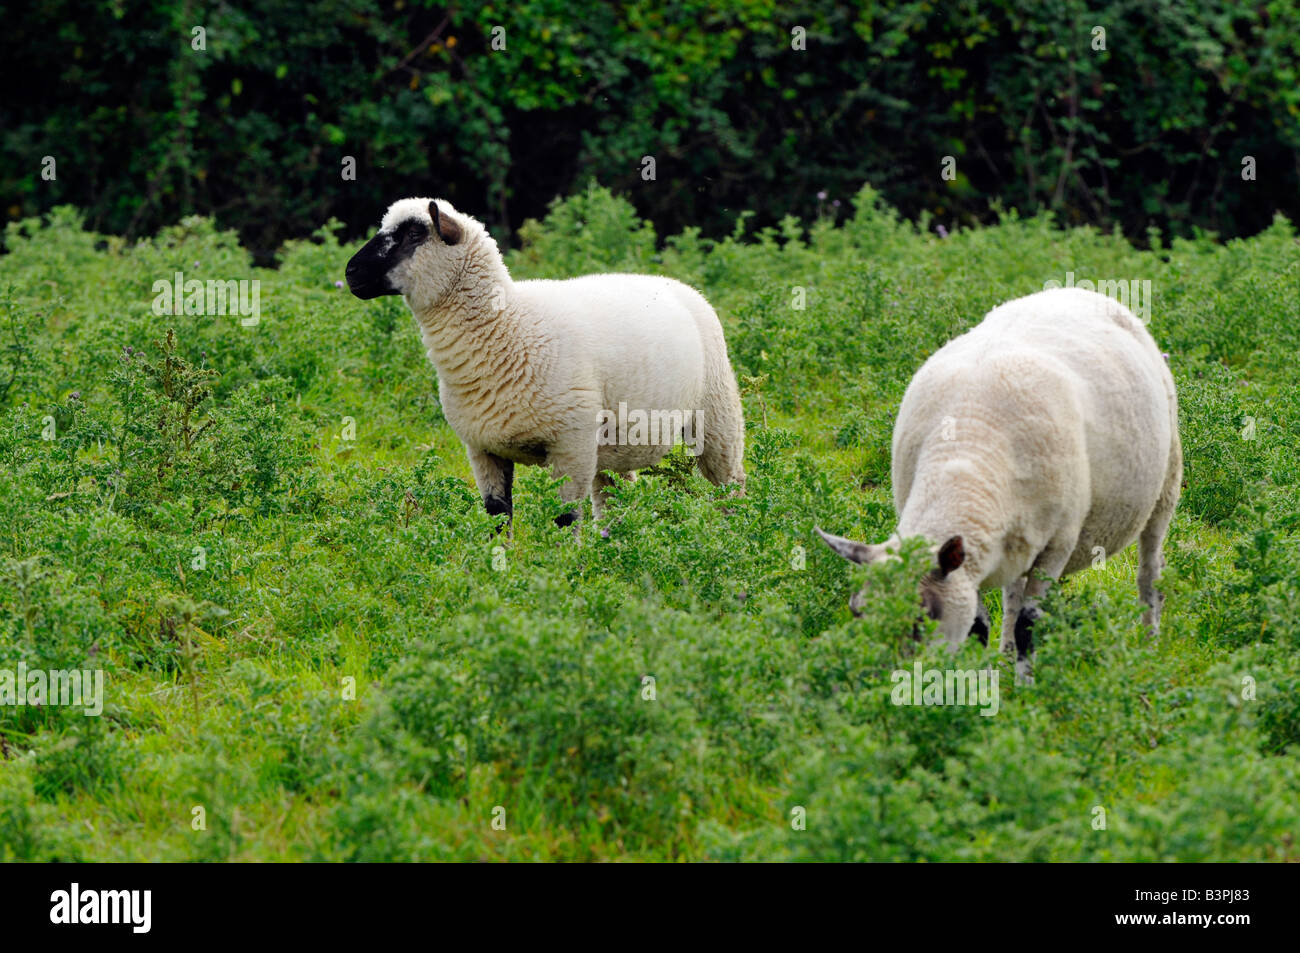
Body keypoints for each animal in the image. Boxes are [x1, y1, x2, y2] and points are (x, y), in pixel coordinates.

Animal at [344, 197, 746, 528]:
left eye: (414, 234)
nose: (350, 273)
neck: (507, 327)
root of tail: (676, 284)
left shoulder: (569, 445)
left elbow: (565, 518)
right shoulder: (483, 449)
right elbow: (498, 518)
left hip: (716, 416)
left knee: (731, 485)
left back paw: (739, 540)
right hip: (612, 443)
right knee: (614, 499)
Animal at [817, 287, 1181, 682]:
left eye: (923, 617)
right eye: (856, 611)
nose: (878, 684)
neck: (964, 457)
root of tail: (1073, 289)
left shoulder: (1058, 544)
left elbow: (1029, 624)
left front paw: (1024, 688)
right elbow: (979, 625)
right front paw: (979, 681)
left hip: (1165, 487)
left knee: (1149, 571)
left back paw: (1149, 643)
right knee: (1012, 593)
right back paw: (1006, 654)